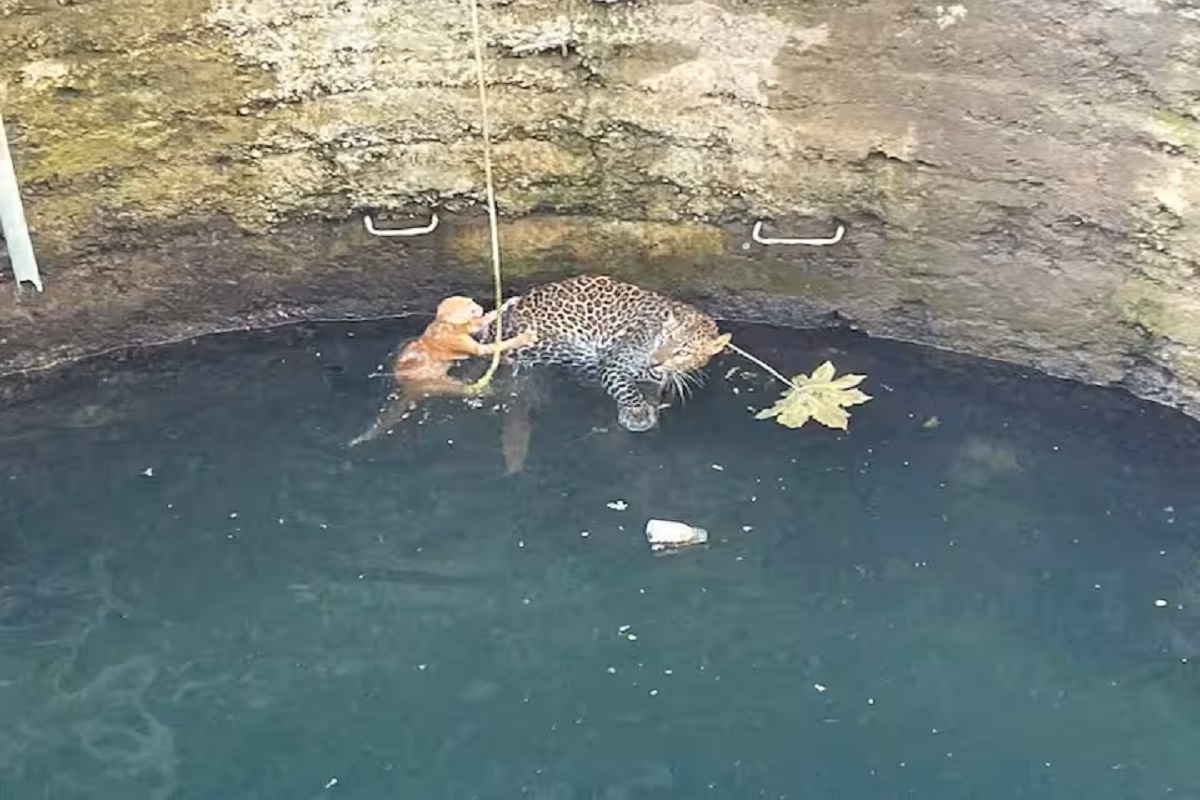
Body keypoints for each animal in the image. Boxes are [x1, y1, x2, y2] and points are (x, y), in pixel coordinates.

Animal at [481, 274, 732, 432]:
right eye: (663, 339)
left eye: (682, 352)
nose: (655, 362)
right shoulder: (616, 364)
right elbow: (626, 388)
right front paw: (637, 414)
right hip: (562, 347)